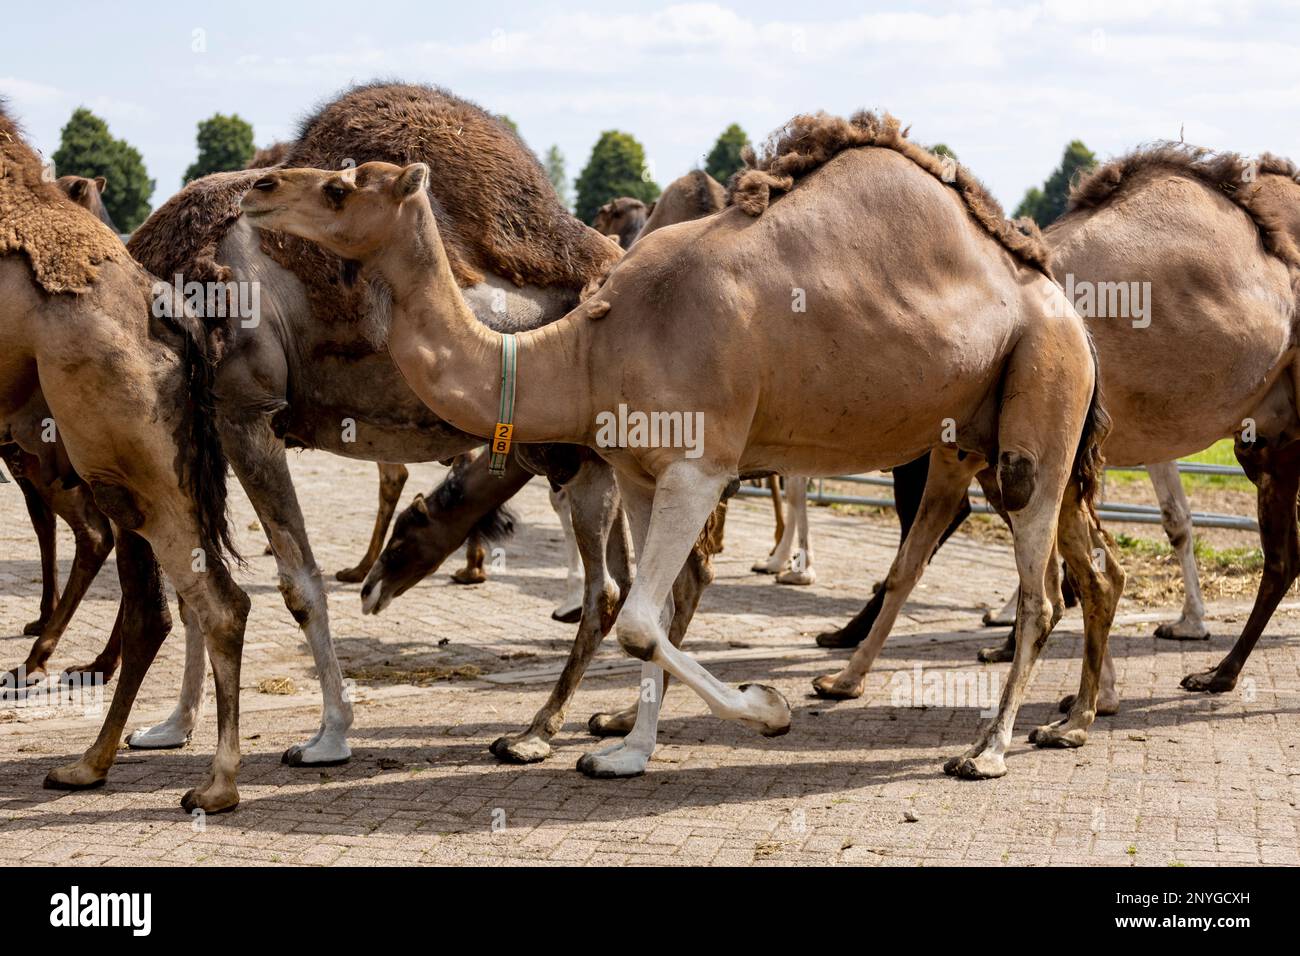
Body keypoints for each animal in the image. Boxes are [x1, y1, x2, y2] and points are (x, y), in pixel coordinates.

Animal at [1, 103, 249, 811]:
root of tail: (170, 314)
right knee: (152, 605)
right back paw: (89, 761)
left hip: (119, 452)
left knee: (213, 600)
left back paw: (214, 785)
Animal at [242, 108, 1119, 780]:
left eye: (340, 186)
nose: (257, 187)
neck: (588, 347)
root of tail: (1062, 304)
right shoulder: (638, 470)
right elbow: (652, 610)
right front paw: (626, 752)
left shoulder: (702, 462)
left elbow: (637, 618)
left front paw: (766, 708)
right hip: (981, 433)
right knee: (1064, 563)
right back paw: (1050, 718)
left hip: (1042, 401)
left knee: (1040, 591)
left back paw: (988, 748)